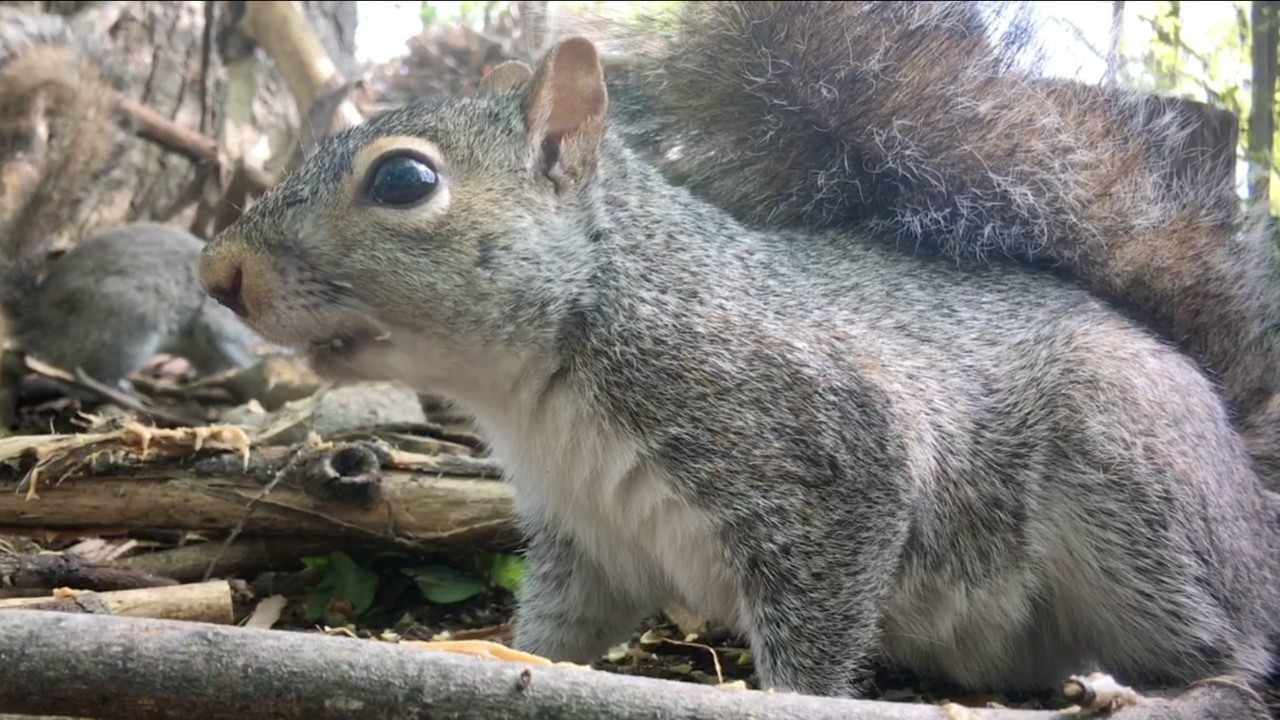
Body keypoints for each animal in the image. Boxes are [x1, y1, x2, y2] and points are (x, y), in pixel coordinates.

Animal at [0, 10, 271, 395]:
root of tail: (35, 316)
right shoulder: (219, 323)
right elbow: (231, 346)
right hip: (130, 322)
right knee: (85, 369)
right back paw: (120, 387)